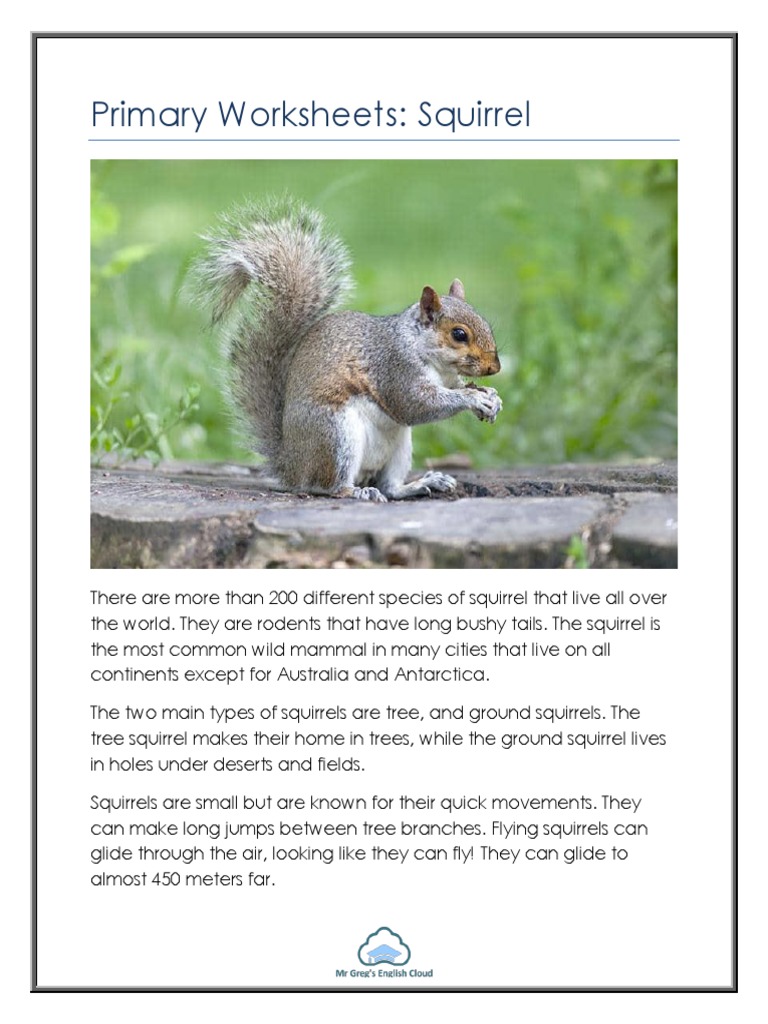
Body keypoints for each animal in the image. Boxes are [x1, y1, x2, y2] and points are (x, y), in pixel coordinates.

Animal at [192, 197, 502, 501]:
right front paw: (472, 398)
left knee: (390, 486)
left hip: (399, 446)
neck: (427, 353)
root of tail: (291, 467)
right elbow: (416, 404)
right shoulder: (395, 367)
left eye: (487, 324)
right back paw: (358, 490)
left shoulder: (446, 378)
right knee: (327, 486)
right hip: (336, 436)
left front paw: (491, 396)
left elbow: (456, 387)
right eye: (459, 334)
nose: (495, 368)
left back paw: (422, 483)